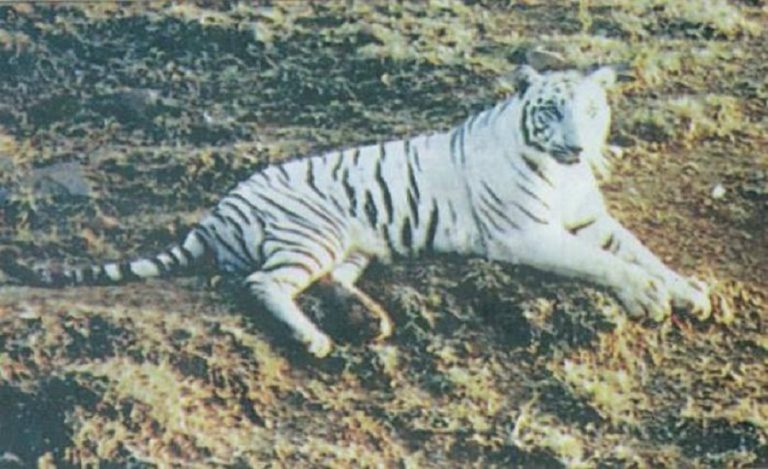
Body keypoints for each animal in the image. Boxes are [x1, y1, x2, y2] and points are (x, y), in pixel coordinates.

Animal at [2, 65, 711, 358]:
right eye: (550, 110)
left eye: (590, 110)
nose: (577, 146)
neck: (563, 177)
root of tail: (215, 211)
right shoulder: (526, 233)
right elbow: (600, 263)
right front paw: (649, 296)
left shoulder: (590, 217)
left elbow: (640, 249)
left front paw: (689, 290)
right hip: (312, 232)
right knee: (262, 284)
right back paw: (314, 339)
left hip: (354, 244)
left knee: (329, 283)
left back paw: (368, 319)